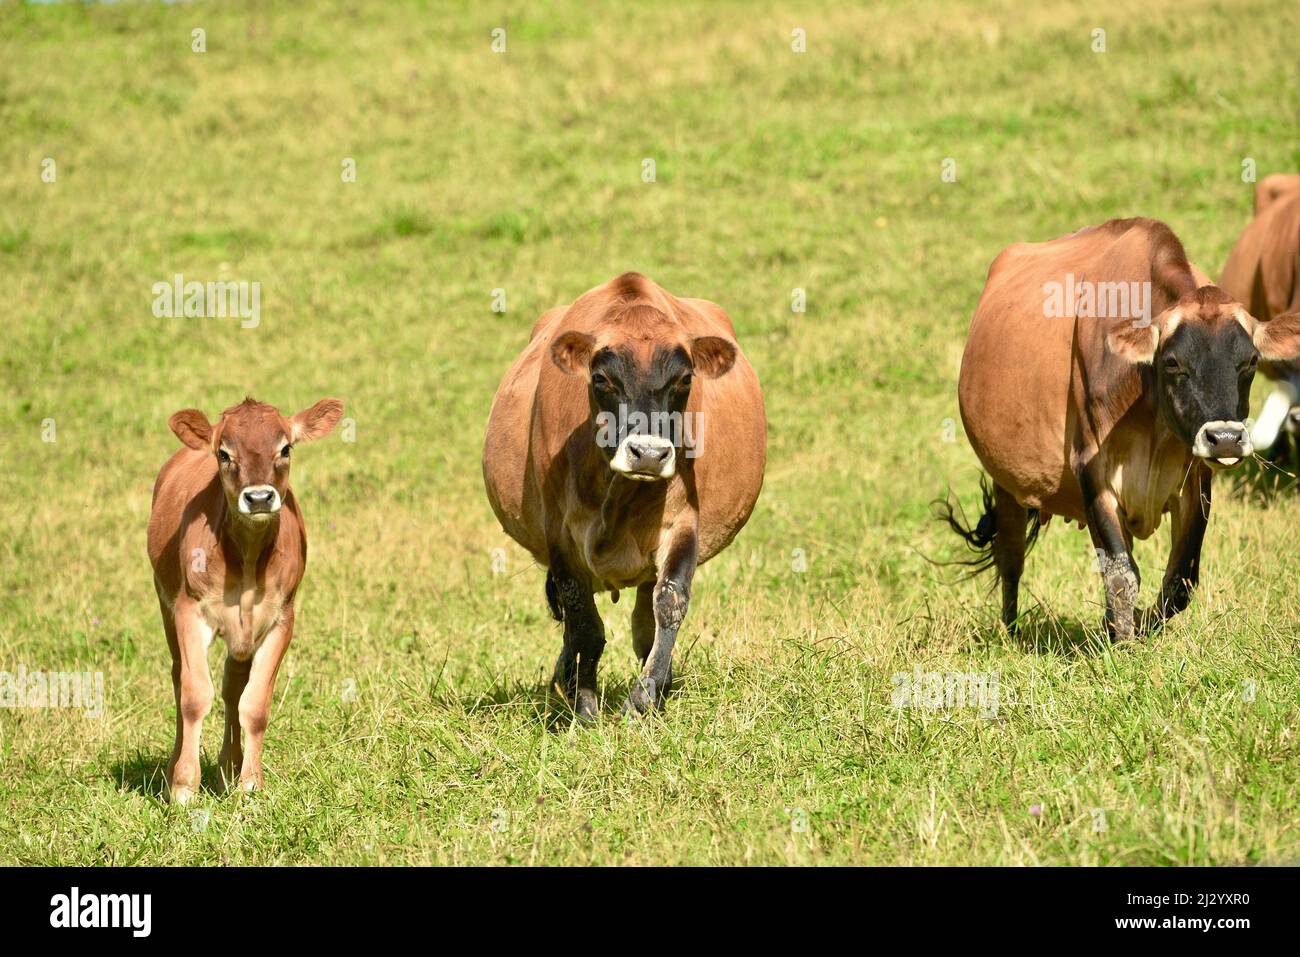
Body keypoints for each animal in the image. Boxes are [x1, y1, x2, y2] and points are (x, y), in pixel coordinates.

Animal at [147, 397, 342, 803]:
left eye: (285, 449)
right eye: (224, 453)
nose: (259, 497)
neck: (249, 557)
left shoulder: (282, 617)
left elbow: (253, 704)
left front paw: (250, 784)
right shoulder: (190, 610)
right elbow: (193, 695)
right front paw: (183, 787)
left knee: (233, 686)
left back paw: (228, 768)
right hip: (164, 602)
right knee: (179, 676)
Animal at [482, 272, 766, 720]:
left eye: (685, 379)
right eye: (601, 378)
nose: (648, 453)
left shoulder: (682, 521)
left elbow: (669, 603)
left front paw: (644, 698)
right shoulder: (560, 536)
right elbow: (584, 625)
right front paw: (584, 707)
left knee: (643, 624)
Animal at [938, 218, 1300, 640]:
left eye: (1250, 361)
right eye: (1172, 362)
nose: (1224, 438)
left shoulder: (1195, 482)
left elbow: (1179, 581)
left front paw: (1137, 627)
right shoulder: (1093, 473)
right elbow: (1121, 574)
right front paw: (1125, 644)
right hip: (1007, 483)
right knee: (1010, 557)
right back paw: (1010, 631)